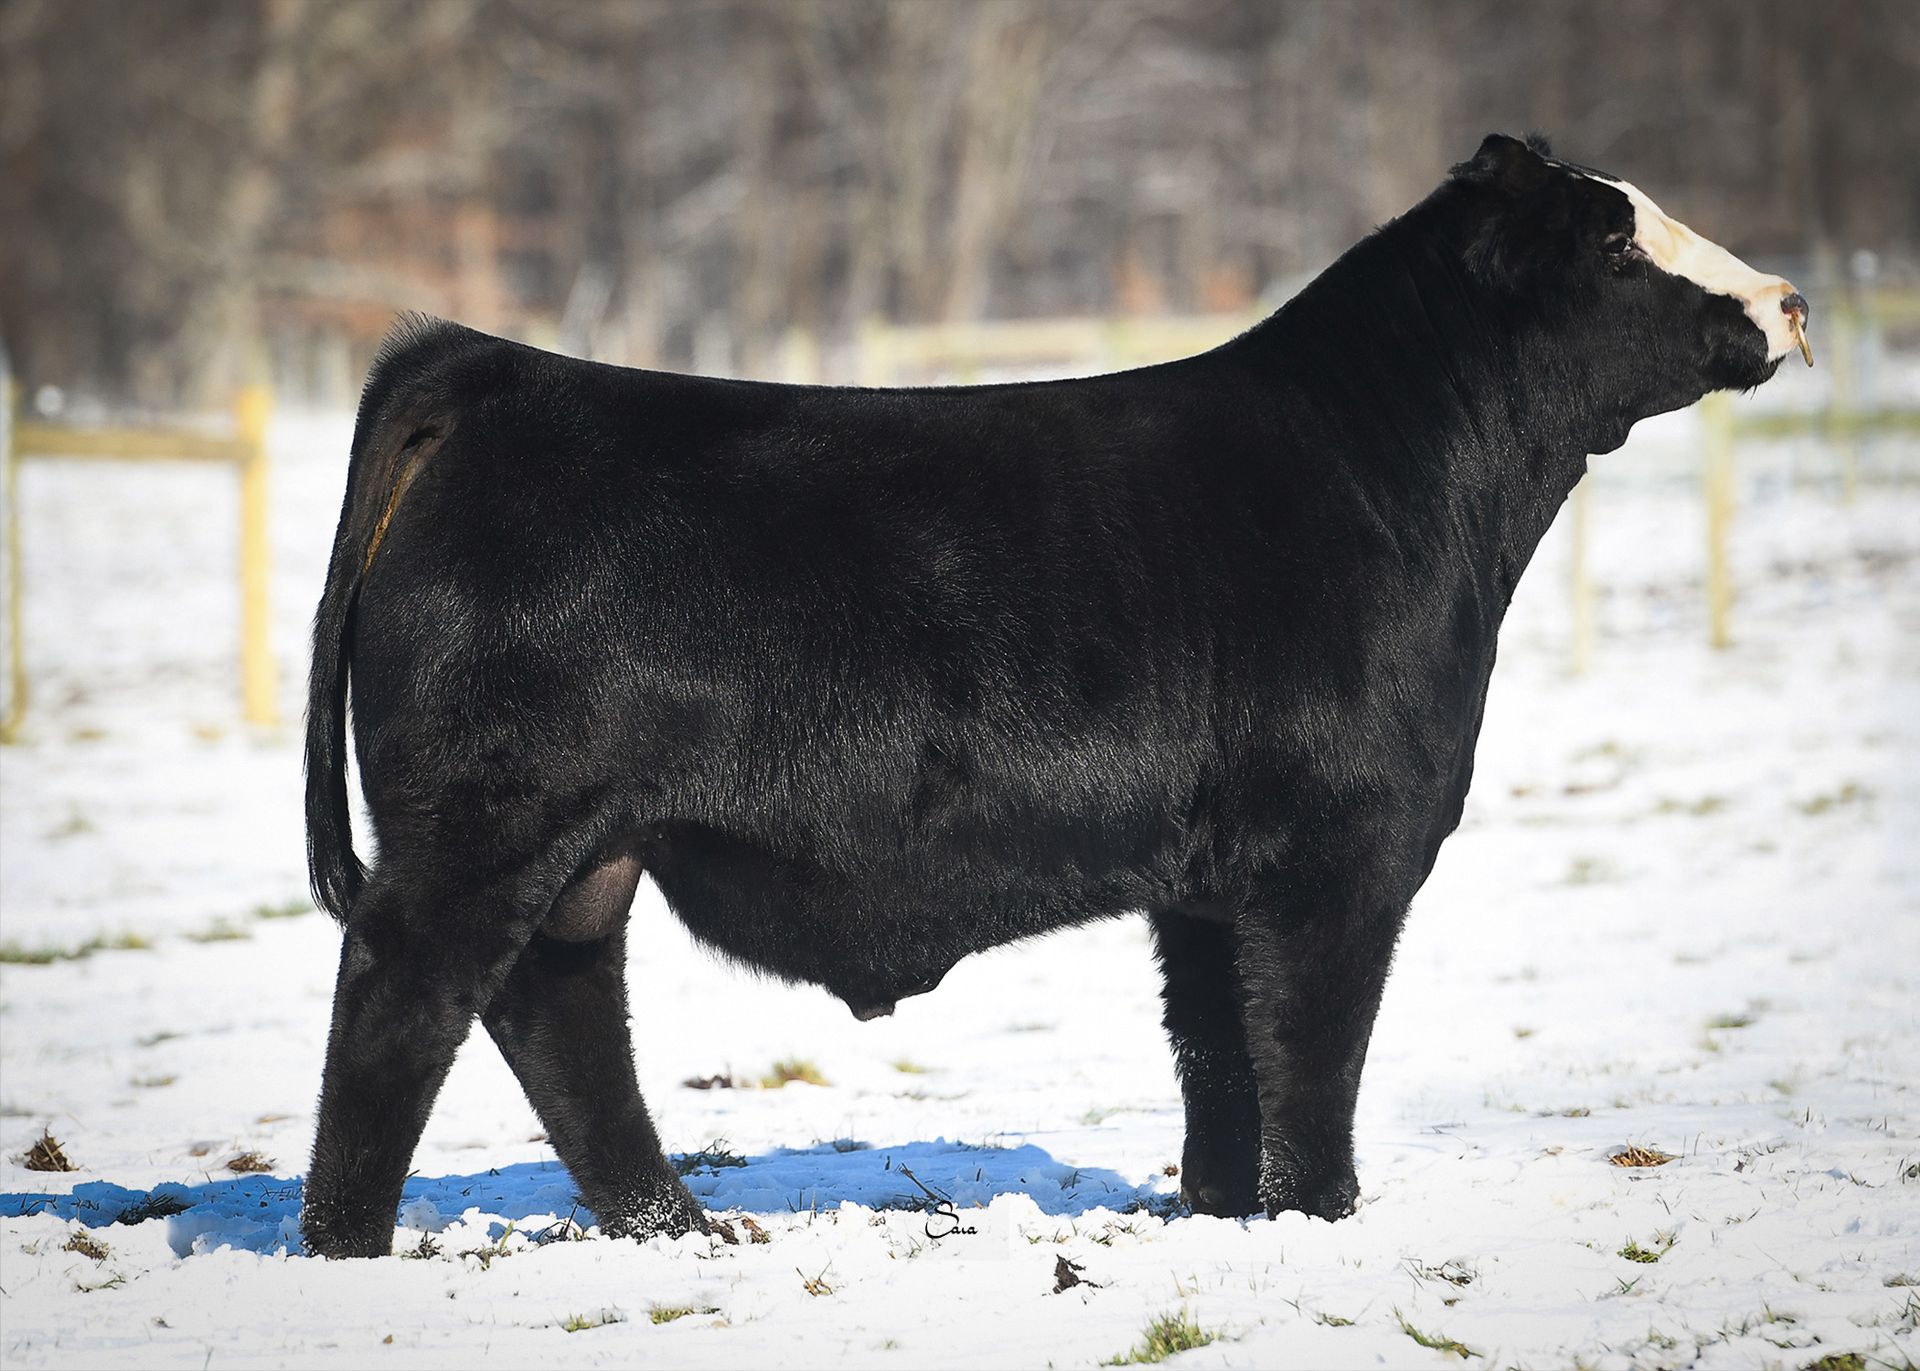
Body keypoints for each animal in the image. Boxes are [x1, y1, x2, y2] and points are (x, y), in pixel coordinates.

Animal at [297, 134, 1809, 1258]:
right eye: (1613, 240)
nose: (1789, 300)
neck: (1403, 485)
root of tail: (487, 367)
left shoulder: (1208, 879)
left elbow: (1221, 1052)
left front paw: (1224, 1215)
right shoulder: (1339, 854)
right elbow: (1311, 1048)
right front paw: (1323, 1218)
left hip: (585, 848)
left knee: (555, 1008)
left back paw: (680, 1228)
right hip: (489, 822)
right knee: (403, 993)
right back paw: (348, 1250)